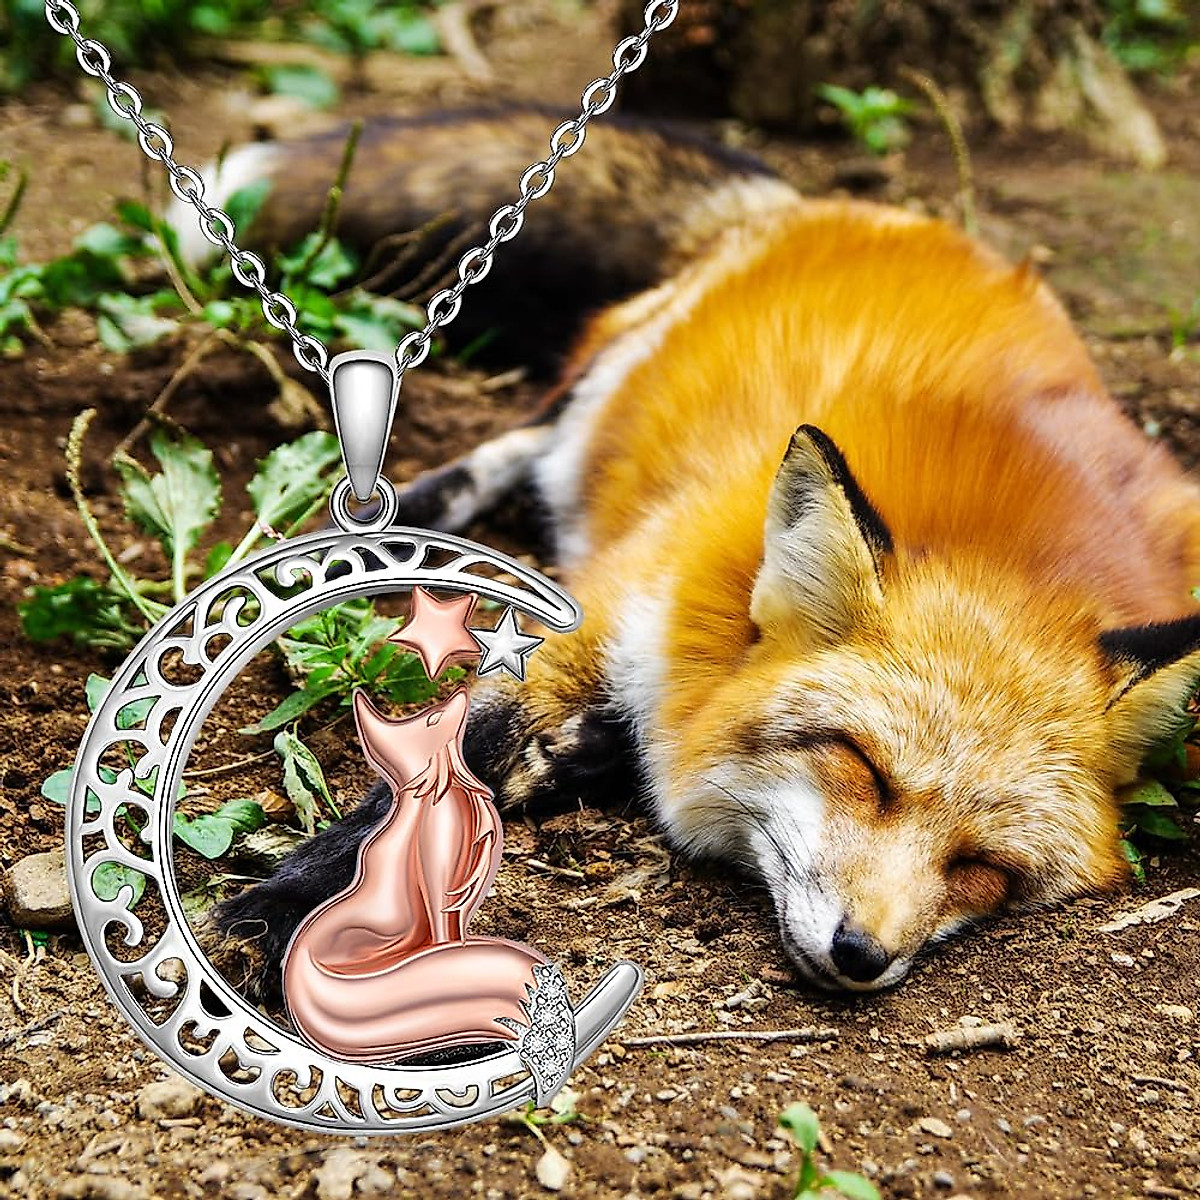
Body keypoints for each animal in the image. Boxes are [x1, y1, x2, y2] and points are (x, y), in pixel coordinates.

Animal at [180, 109, 1200, 995]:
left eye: (983, 865)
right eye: (864, 771)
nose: (861, 955)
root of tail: (832, 207)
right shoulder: (607, 601)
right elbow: (448, 758)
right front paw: (280, 912)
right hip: (610, 376)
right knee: (535, 436)